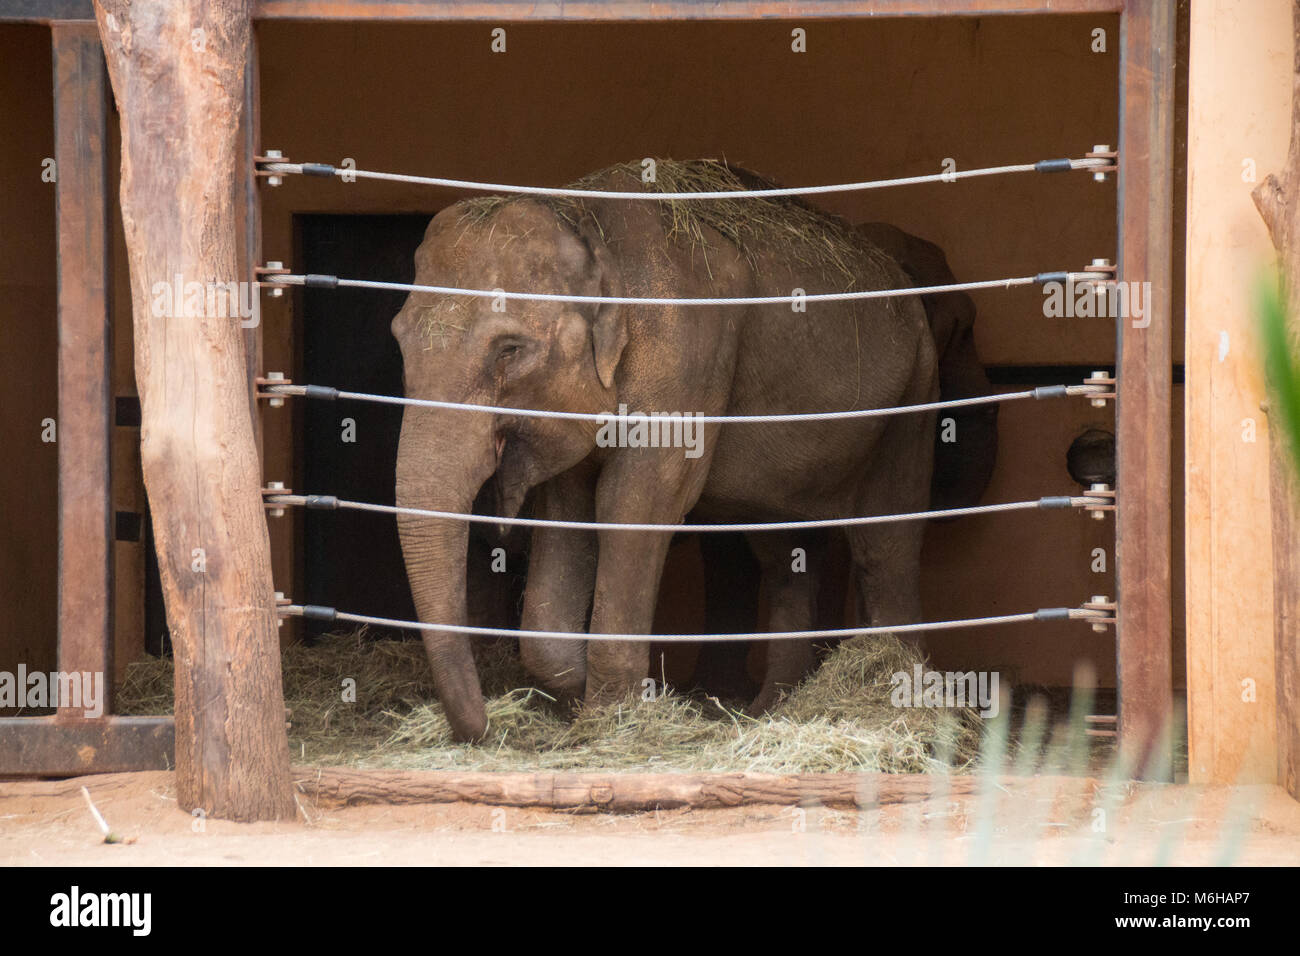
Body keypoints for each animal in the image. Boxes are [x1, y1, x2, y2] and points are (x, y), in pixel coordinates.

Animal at [389, 160, 938, 741]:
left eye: (510, 350)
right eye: (399, 341)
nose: (486, 727)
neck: (585, 217)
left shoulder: (687, 349)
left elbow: (634, 503)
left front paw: (611, 722)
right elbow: (568, 511)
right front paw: (578, 692)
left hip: (915, 393)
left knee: (886, 544)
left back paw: (896, 691)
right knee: (786, 552)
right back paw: (771, 711)